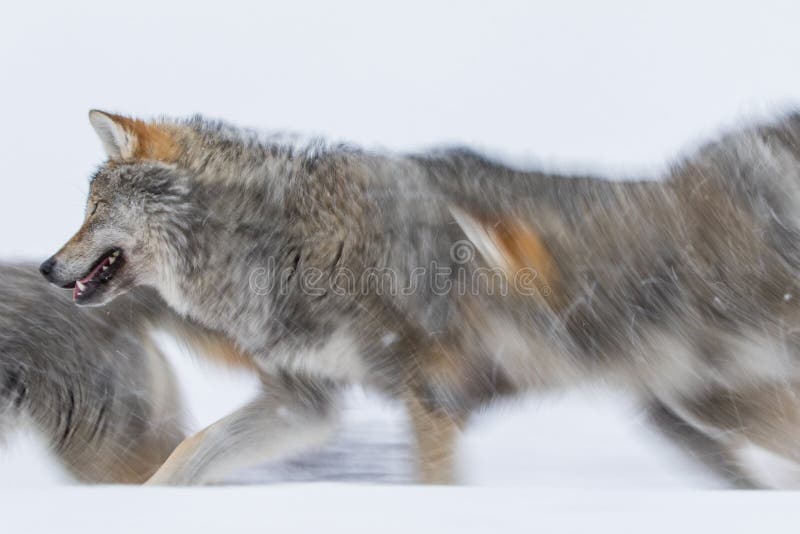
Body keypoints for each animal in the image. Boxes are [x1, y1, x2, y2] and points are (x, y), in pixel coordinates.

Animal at [40, 109, 800, 487]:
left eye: (93, 209)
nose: (47, 267)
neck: (280, 240)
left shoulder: (434, 394)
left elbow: (432, 484)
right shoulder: (303, 404)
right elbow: (181, 462)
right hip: (704, 409)